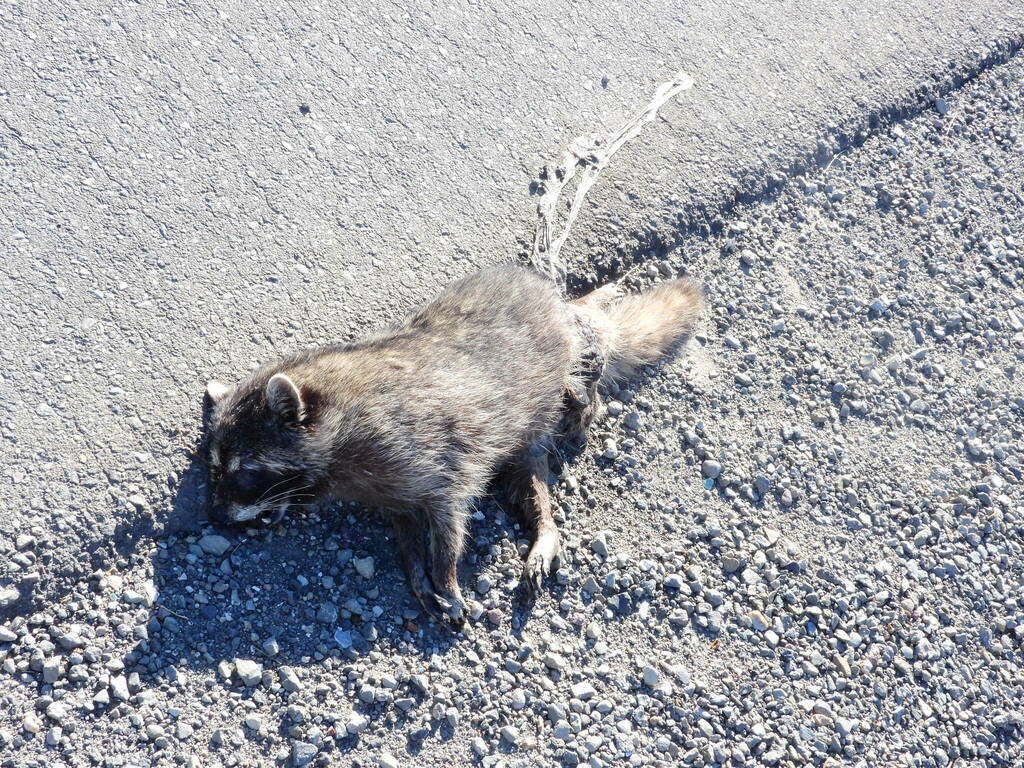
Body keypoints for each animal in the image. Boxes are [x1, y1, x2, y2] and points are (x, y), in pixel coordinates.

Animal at [203, 265, 703, 629]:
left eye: (244, 470)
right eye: (216, 468)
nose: (215, 517)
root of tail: (552, 295)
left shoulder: (433, 449)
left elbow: (449, 521)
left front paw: (444, 575)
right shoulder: (391, 485)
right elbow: (406, 528)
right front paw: (417, 573)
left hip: (549, 384)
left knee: (559, 428)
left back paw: (547, 517)